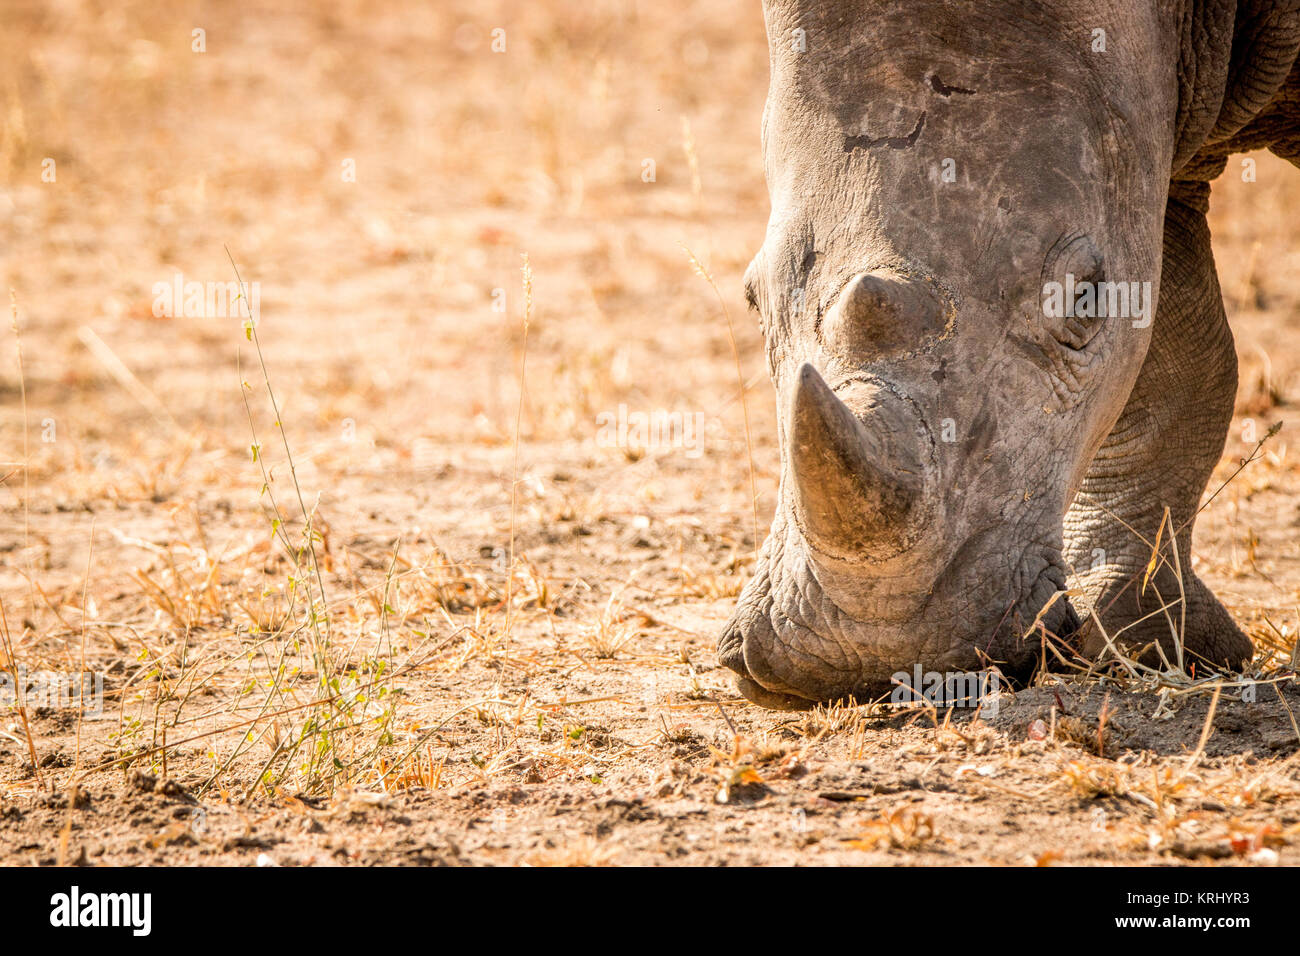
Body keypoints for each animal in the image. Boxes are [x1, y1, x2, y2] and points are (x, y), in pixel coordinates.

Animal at [719, 0, 1300, 709]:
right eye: (752, 300)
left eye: (1084, 298)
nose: (866, 660)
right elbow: (1176, 368)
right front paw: (1149, 646)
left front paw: (1142, 647)